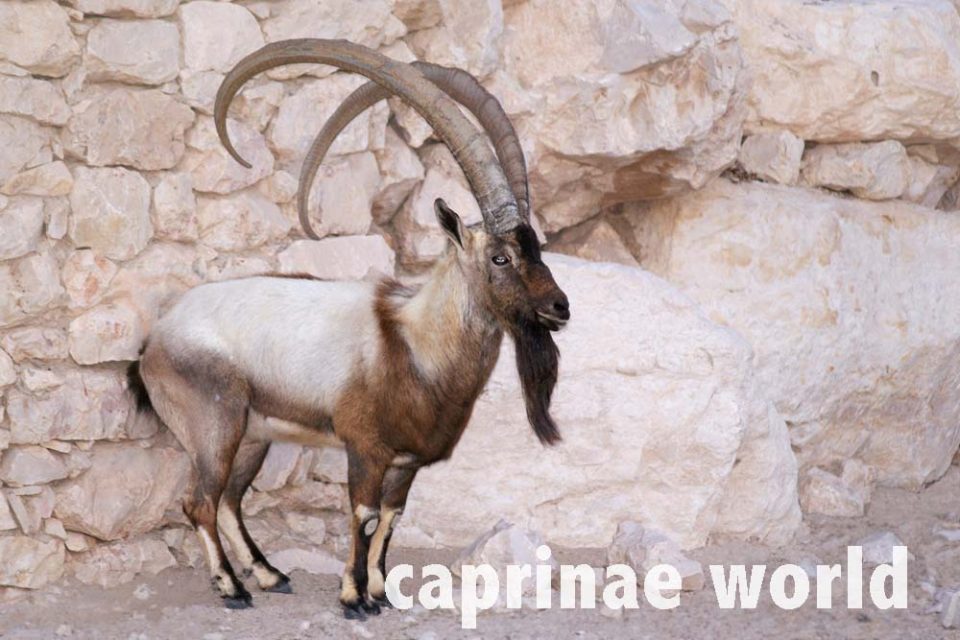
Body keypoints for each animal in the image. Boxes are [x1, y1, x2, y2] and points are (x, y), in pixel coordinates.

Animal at [129, 39, 570, 618]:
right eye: (500, 256)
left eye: (537, 248)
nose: (560, 307)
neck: (414, 345)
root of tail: (155, 339)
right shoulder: (365, 448)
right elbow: (362, 517)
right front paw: (353, 598)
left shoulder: (406, 464)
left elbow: (390, 521)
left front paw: (381, 592)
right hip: (214, 424)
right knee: (200, 500)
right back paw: (233, 588)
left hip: (253, 436)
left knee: (229, 499)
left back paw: (270, 574)